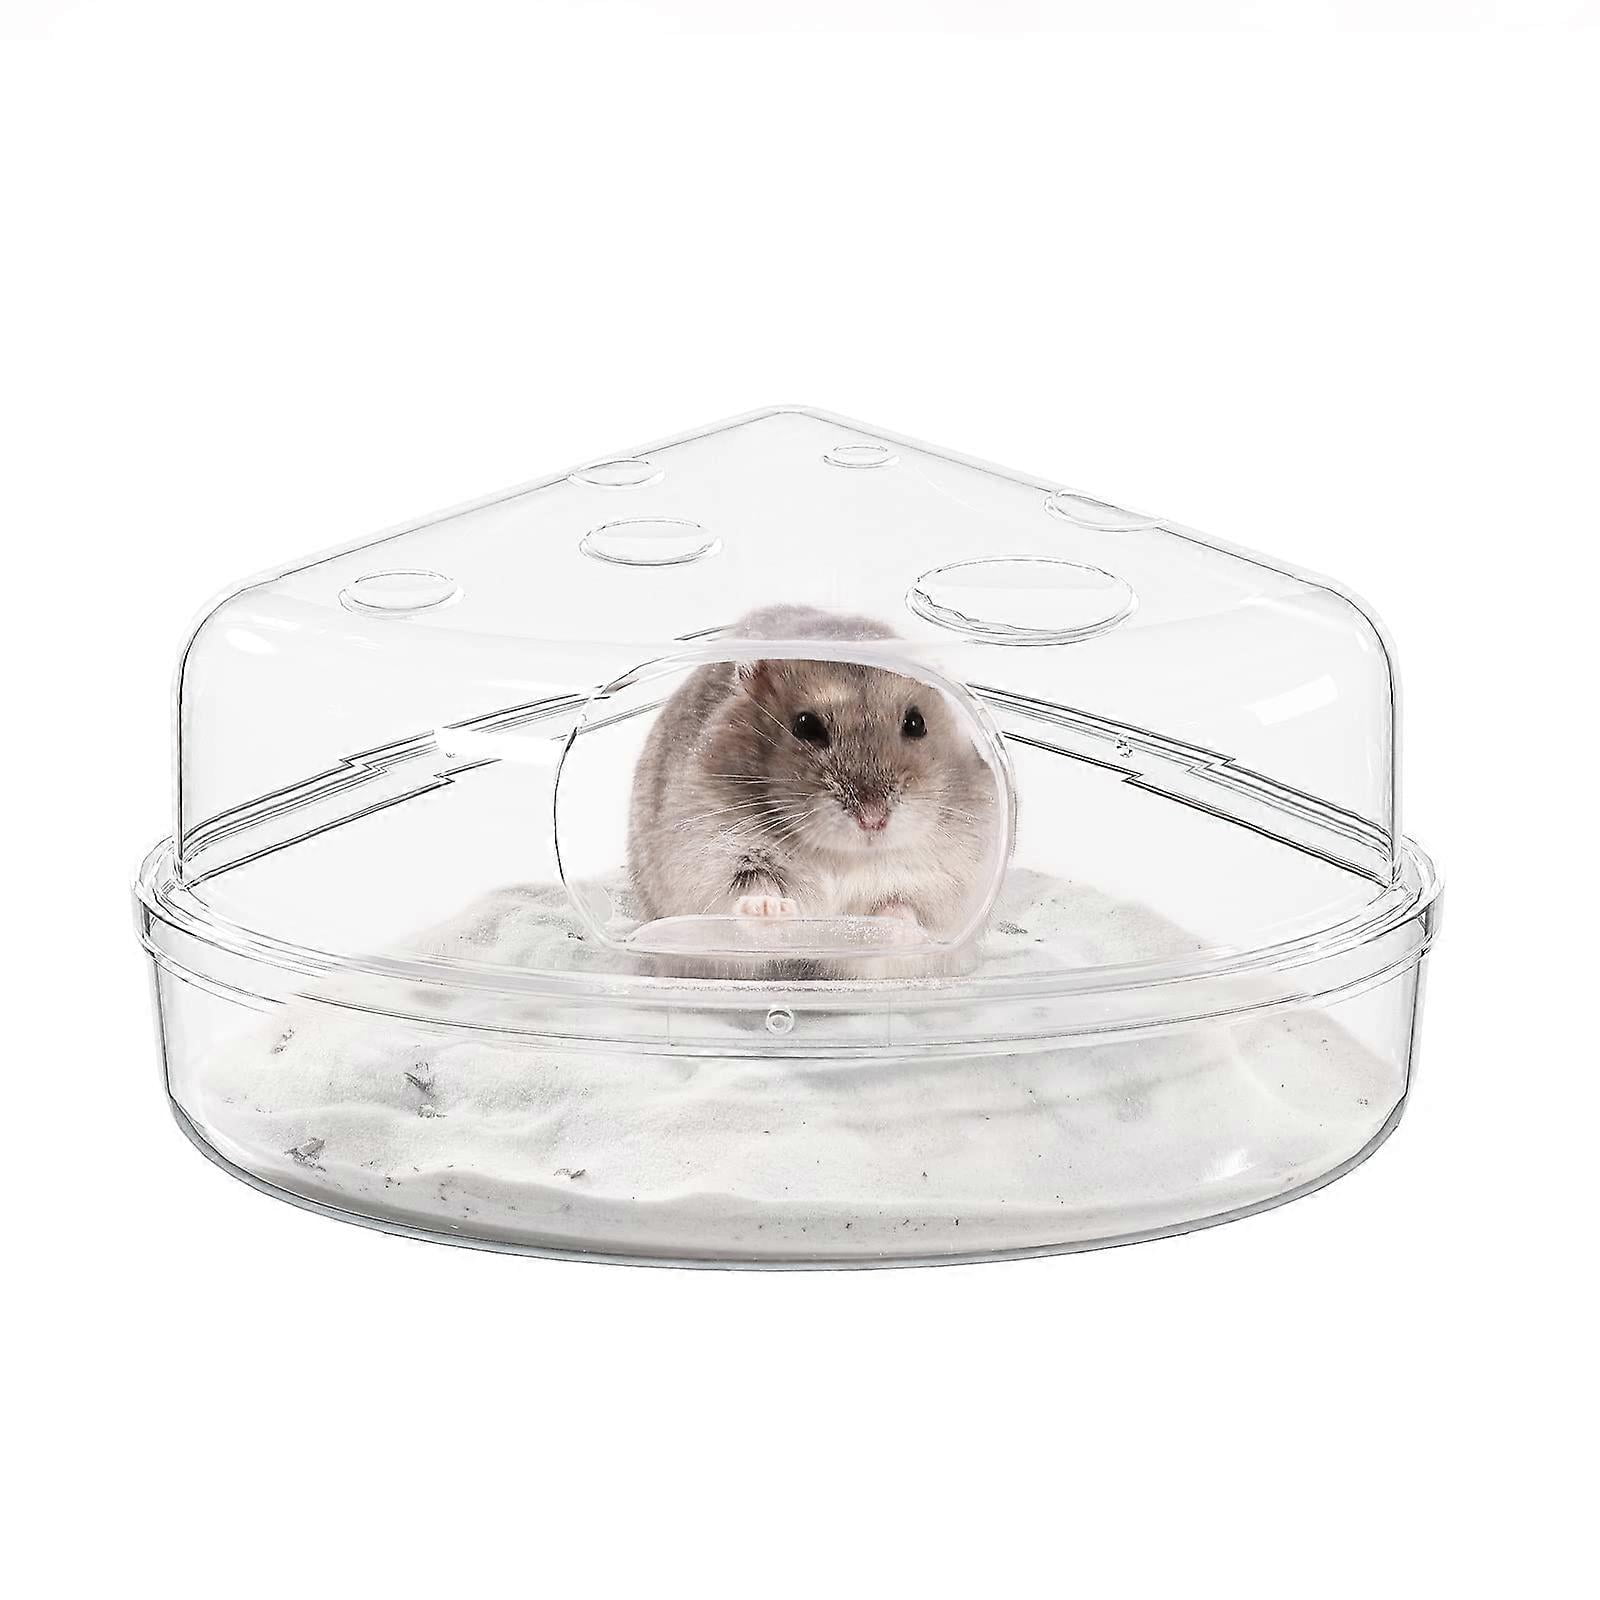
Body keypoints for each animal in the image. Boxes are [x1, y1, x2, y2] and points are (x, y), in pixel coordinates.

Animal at [627, 605, 1001, 967]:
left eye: (916, 723)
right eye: (805, 726)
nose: (873, 819)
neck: (842, 855)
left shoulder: (943, 878)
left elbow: (903, 907)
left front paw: (894, 926)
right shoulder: (714, 852)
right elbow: (753, 885)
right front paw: (771, 912)